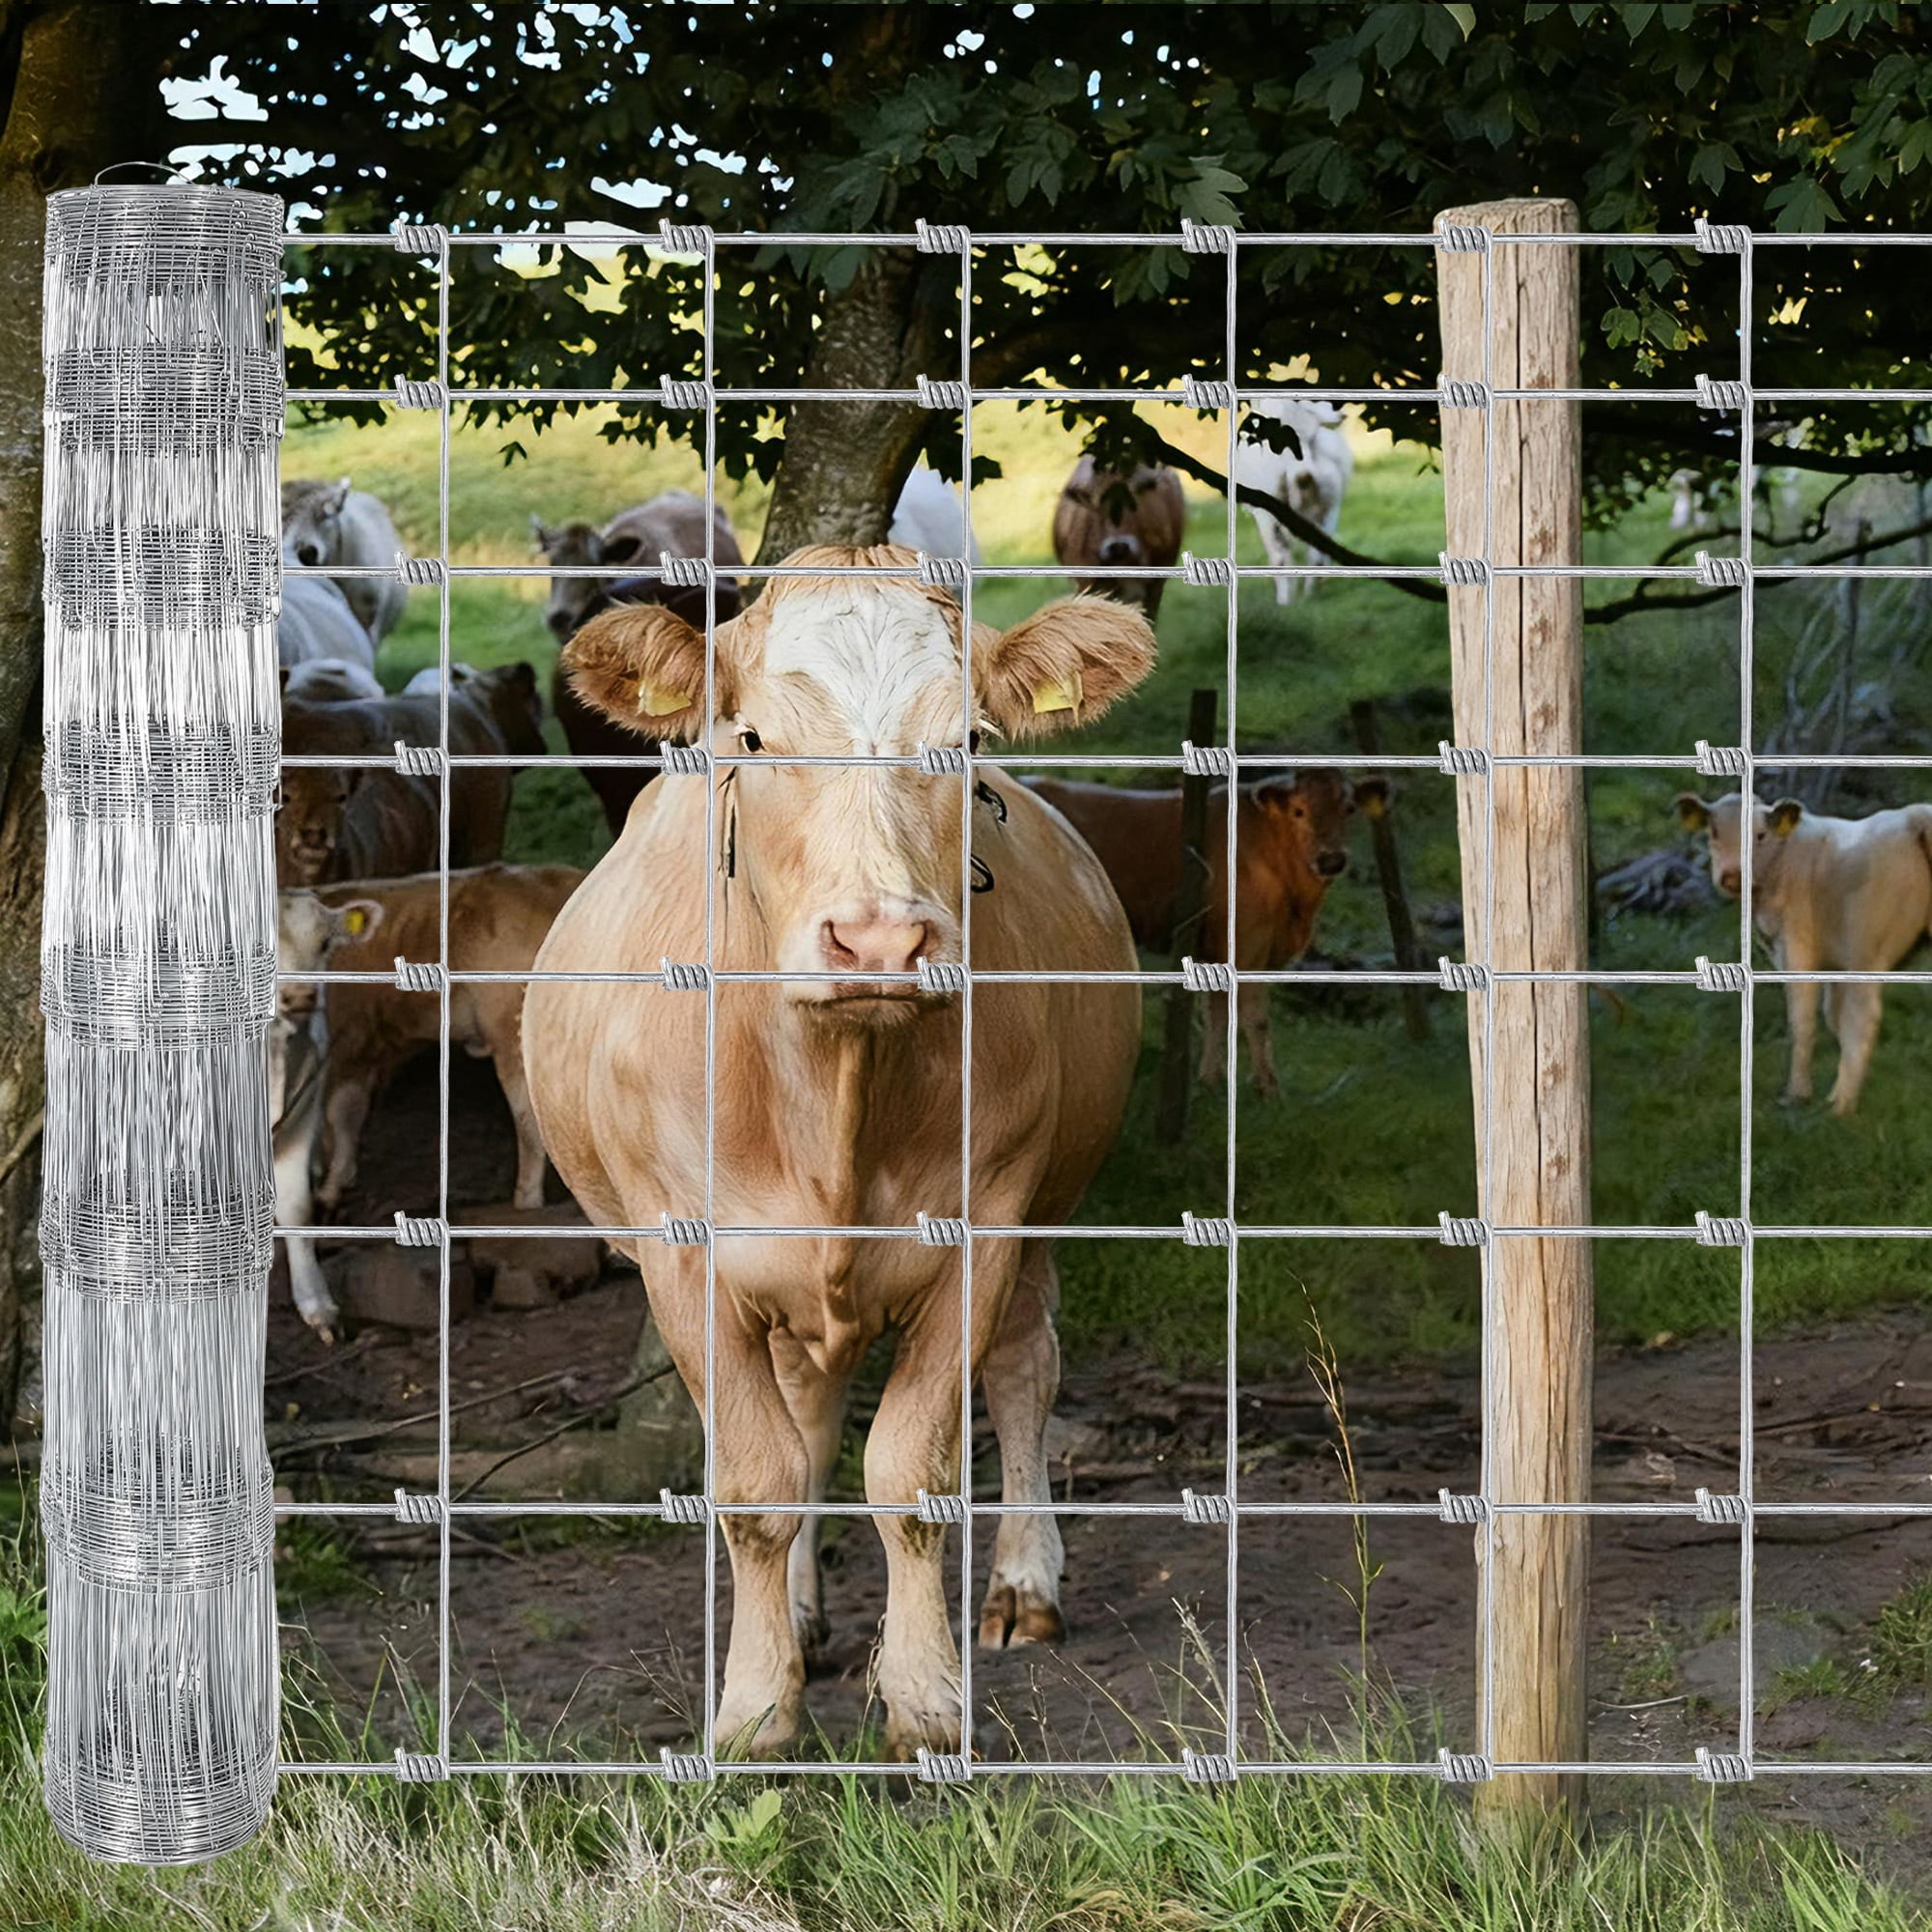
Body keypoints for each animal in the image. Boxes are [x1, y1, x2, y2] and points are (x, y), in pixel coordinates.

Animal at [304, 864, 586, 1215]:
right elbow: (348, 1112)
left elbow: (333, 1114)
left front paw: (327, 1188)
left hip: (511, 1031)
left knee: (528, 1116)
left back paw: (526, 1199)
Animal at [523, 548, 1155, 1758]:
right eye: (754, 736)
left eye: (965, 739)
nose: (878, 941)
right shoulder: (682, 1256)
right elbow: (759, 1473)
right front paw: (754, 1705)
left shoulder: (986, 1223)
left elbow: (911, 1465)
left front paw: (923, 1698)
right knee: (808, 1409)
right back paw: (806, 1616)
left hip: (1047, 1204)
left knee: (1023, 1368)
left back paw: (1022, 1583)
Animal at [1025, 769, 1383, 1098]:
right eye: (1299, 811)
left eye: (1350, 808)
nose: (1331, 859)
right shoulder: (1246, 941)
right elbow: (1251, 1016)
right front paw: (1266, 1088)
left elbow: (1217, 1013)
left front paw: (1214, 1078)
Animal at [1233, 400, 1354, 605]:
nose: (1341, 415)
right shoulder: (1265, 517)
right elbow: (1279, 559)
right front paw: (1285, 602)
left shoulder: (1327, 510)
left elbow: (1315, 554)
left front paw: (1309, 595)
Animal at [1676, 790, 1932, 1115]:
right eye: (1714, 832)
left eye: (1760, 835)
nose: (1732, 876)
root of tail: (1913, 816)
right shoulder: (1834, 962)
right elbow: (1832, 1015)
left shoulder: (1797, 948)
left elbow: (1803, 1019)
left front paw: (1798, 1094)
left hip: (1866, 950)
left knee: (1863, 1017)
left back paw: (1841, 1107)